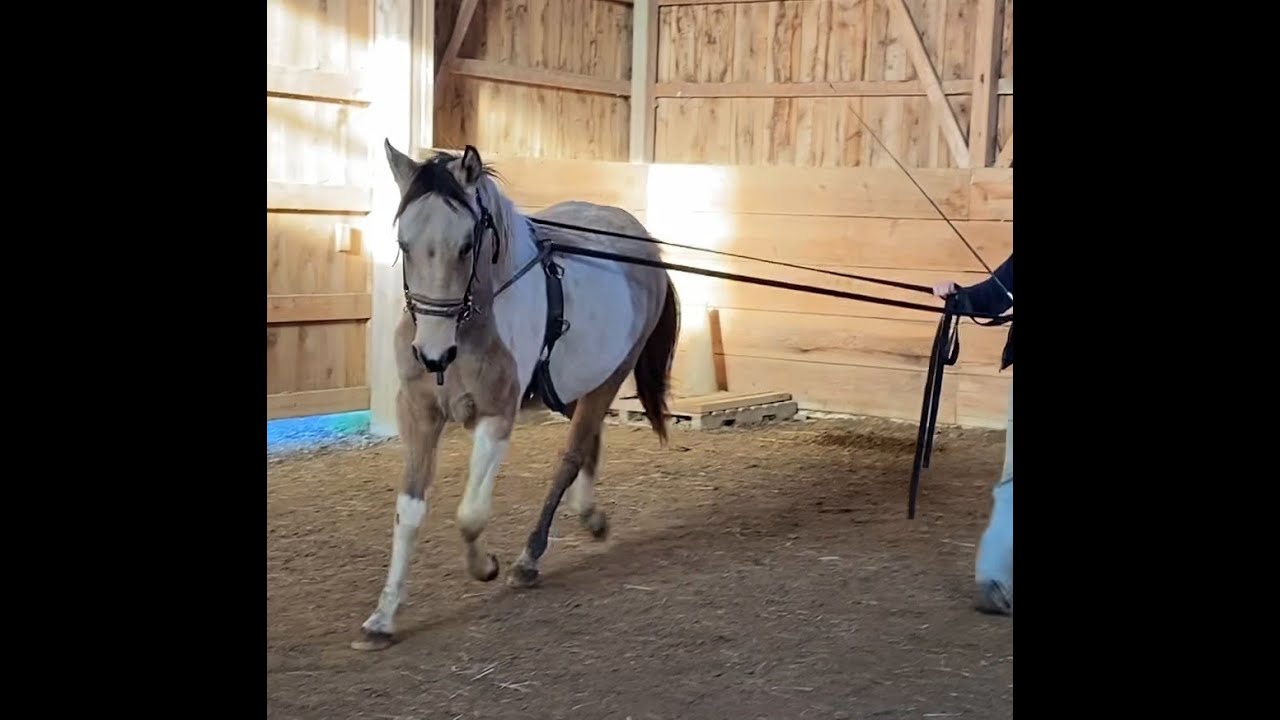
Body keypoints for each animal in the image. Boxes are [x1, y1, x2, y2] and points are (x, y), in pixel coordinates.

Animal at [352, 141, 681, 651]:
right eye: (404, 244)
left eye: (466, 245)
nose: (432, 354)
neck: (470, 325)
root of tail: (640, 238)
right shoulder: (419, 413)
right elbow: (409, 511)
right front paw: (382, 619)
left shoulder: (496, 416)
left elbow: (470, 514)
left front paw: (485, 567)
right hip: (575, 384)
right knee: (590, 444)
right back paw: (590, 517)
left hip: (611, 375)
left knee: (572, 455)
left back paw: (530, 559)